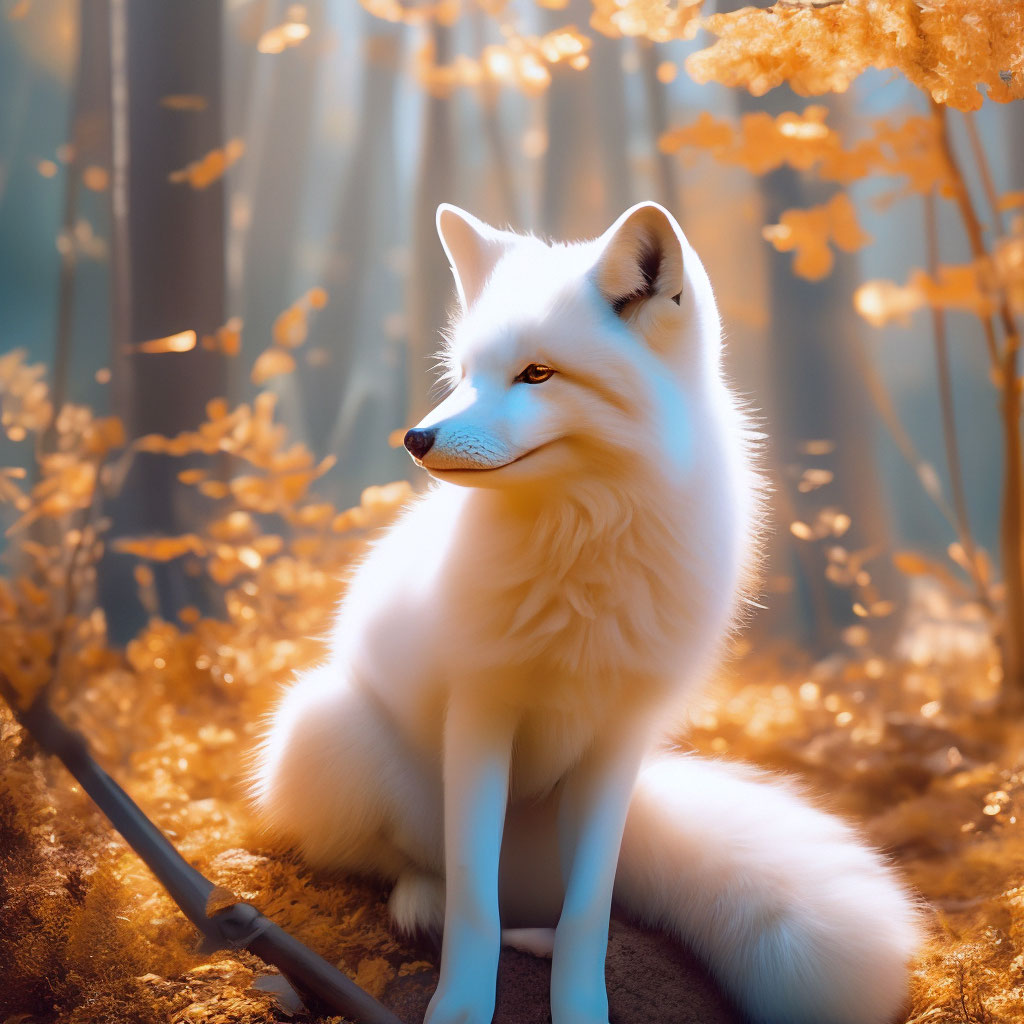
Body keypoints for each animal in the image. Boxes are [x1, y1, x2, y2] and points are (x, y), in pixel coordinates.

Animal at [253, 201, 922, 1024]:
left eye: (537, 374)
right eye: (465, 376)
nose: (415, 438)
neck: (585, 542)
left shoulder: (619, 736)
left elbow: (590, 914)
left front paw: (579, 1006)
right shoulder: (480, 712)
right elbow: (474, 905)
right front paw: (459, 1007)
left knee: (534, 911)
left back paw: (529, 935)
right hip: (323, 726)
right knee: (420, 871)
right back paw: (420, 898)